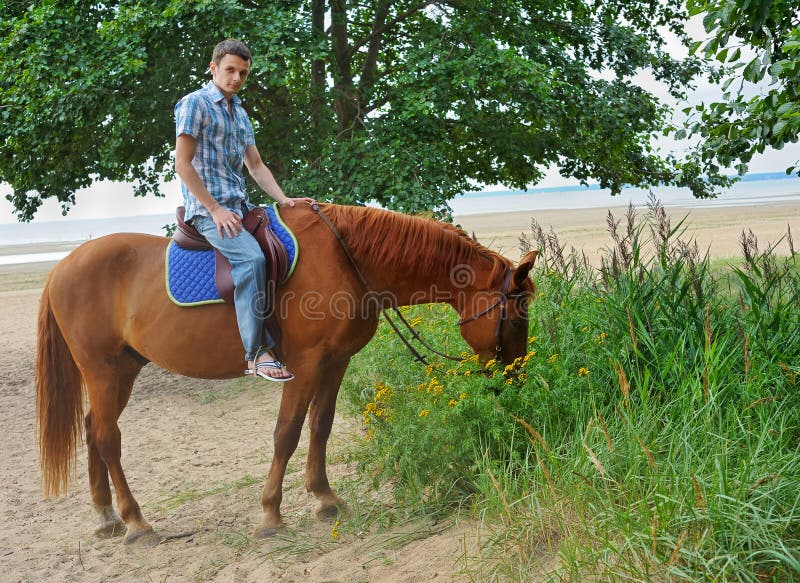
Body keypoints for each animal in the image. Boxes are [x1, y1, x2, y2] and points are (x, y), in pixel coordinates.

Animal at [36, 202, 538, 546]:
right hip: (102, 369)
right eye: (517, 317)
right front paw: (271, 515)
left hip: (124, 367)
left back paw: (107, 517)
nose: (514, 381)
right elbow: (287, 432)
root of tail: (61, 268)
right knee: (107, 437)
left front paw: (325, 500)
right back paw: (136, 522)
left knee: (93, 429)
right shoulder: (305, 364)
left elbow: (320, 427)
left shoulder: (336, 362)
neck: (348, 259)